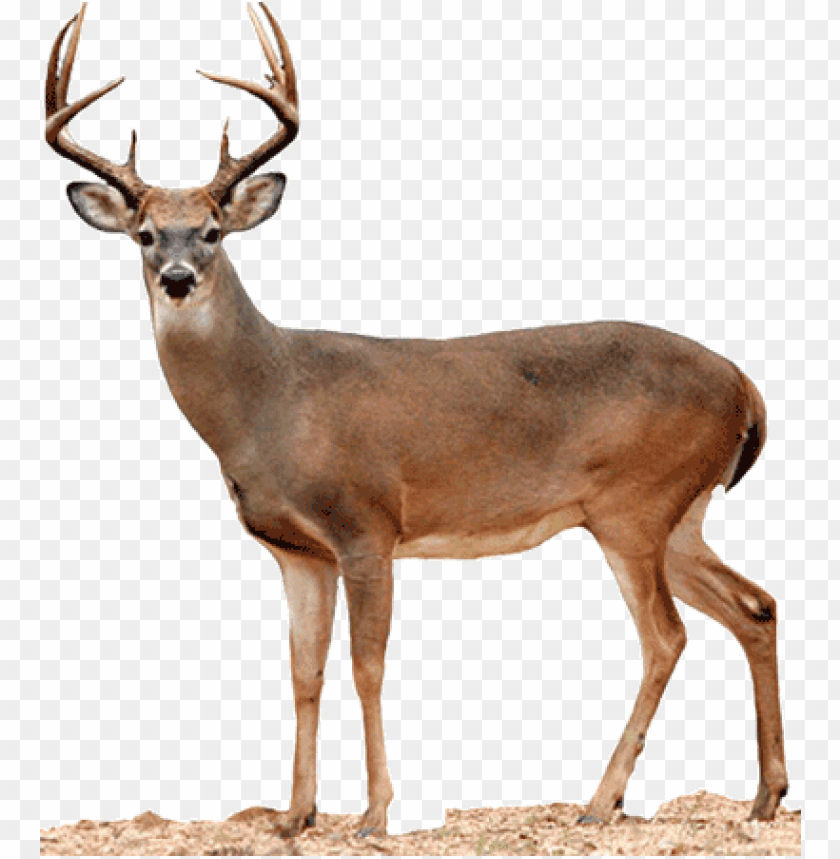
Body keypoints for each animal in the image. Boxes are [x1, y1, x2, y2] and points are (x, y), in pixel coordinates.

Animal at [46, 2, 789, 839]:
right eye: (145, 234)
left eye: (212, 230)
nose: (176, 278)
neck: (274, 398)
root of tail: (746, 386)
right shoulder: (297, 550)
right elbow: (304, 669)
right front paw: (294, 815)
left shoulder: (367, 524)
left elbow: (367, 664)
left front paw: (373, 812)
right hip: (677, 513)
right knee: (756, 605)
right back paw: (765, 793)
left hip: (634, 503)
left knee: (666, 636)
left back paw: (601, 801)